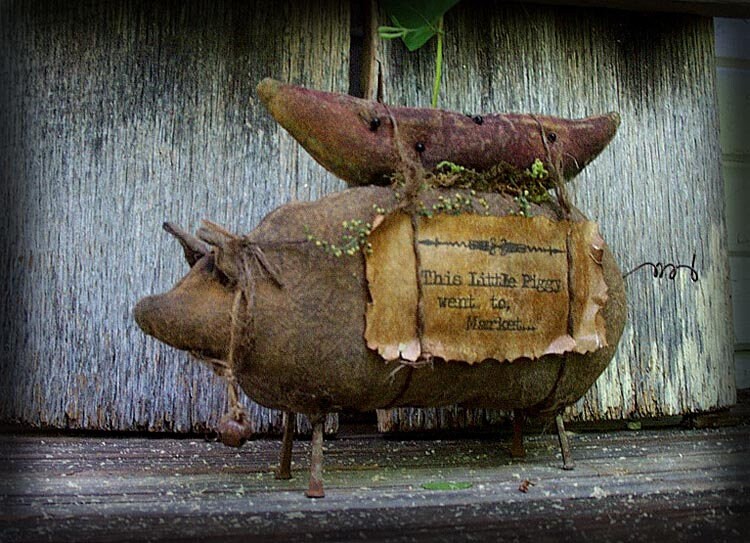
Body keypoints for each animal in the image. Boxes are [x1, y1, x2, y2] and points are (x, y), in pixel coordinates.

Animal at [134, 186, 627, 498]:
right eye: (195, 273)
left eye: (220, 278)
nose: (144, 308)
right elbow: (292, 428)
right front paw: (282, 472)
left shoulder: (317, 392)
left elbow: (316, 432)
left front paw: (314, 489)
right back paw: (518, 448)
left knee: (557, 420)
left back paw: (563, 460)